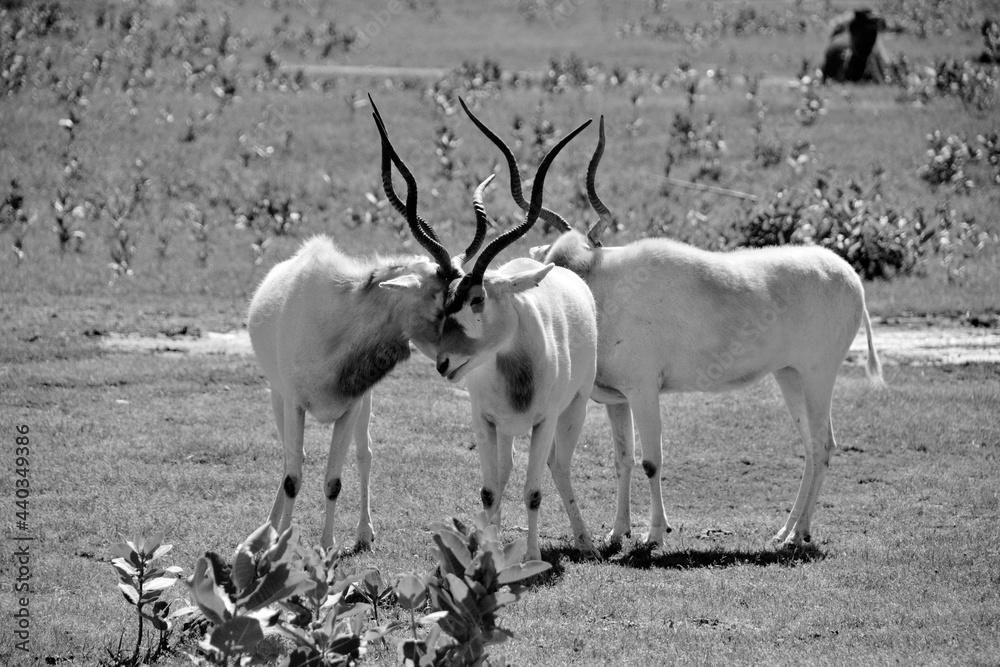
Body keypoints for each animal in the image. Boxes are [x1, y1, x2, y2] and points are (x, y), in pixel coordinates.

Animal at [435, 115, 601, 561]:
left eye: (477, 299)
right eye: (446, 298)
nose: (443, 362)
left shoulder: (545, 421)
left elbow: (534, 492)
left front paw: (533, 558)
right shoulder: (484, 419)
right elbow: (491, 491)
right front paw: (486, 556)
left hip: (575, 408)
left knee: (558, 466)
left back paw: (585, 540)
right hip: (506, 428)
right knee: (506, 473)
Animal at [468, 112, 884, 549]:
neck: (600, 286)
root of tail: (851, 276)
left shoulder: (644, 391)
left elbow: (651, 460)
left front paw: (654, 536)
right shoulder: (618, 399)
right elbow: (623, 458)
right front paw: (618, 532)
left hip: (819, 375)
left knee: (822, 445)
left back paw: (798, 534)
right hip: (791, 376)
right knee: (811, 445)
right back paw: (785, 531)